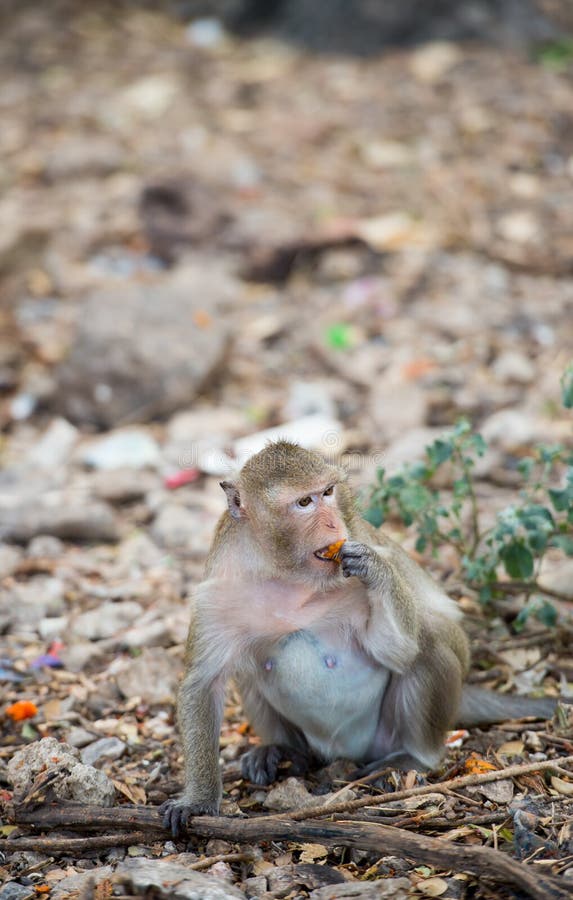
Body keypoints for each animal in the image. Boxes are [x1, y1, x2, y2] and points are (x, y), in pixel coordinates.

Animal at [160, 441, 557, 836]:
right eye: (304, 502)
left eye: (328, 493)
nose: (333, 523)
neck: (287, 575)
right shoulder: (217, 590)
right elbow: (202, 683)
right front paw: (198, 799)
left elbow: (399, 651)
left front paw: (377, 570)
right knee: (248, 670)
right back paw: (283, 750)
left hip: (384, 736)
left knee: (429, 644)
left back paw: (414, 756)